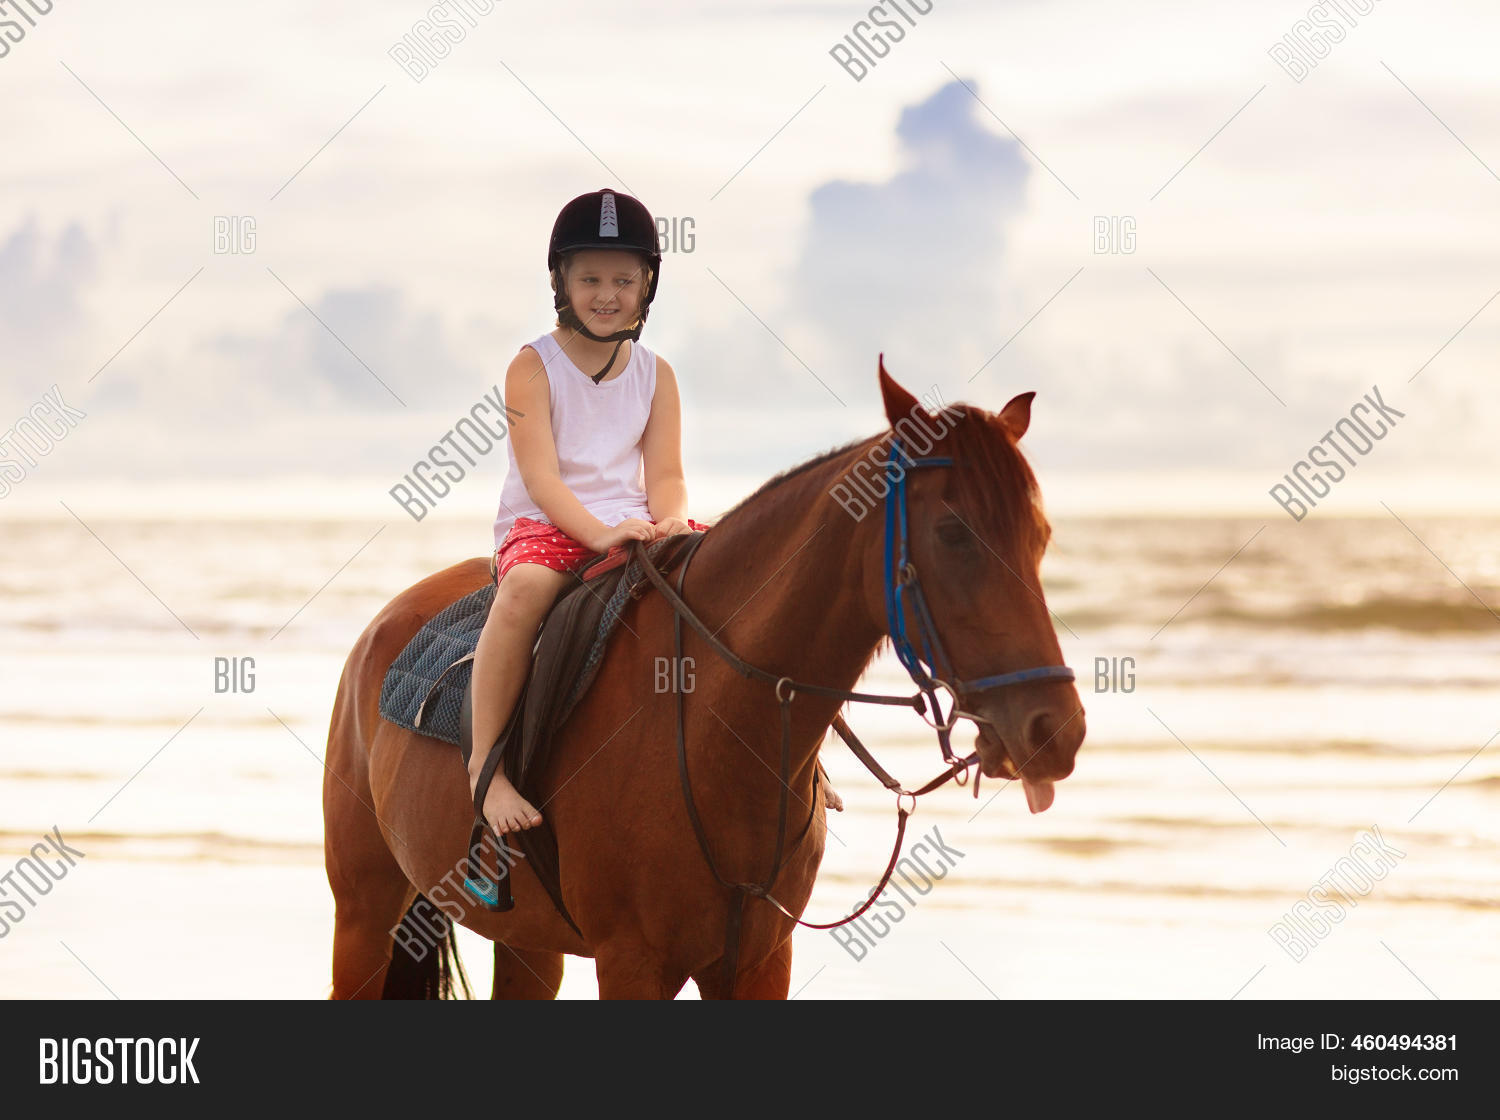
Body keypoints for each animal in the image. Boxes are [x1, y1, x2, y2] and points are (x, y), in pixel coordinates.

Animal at [322, 359, 1086, 999]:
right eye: (954, 534)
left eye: (1042, 537)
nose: (1056, 730)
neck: (721, 732)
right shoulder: (633, 963)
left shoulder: (756, 961)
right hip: (365, 911)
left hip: (527, 944)